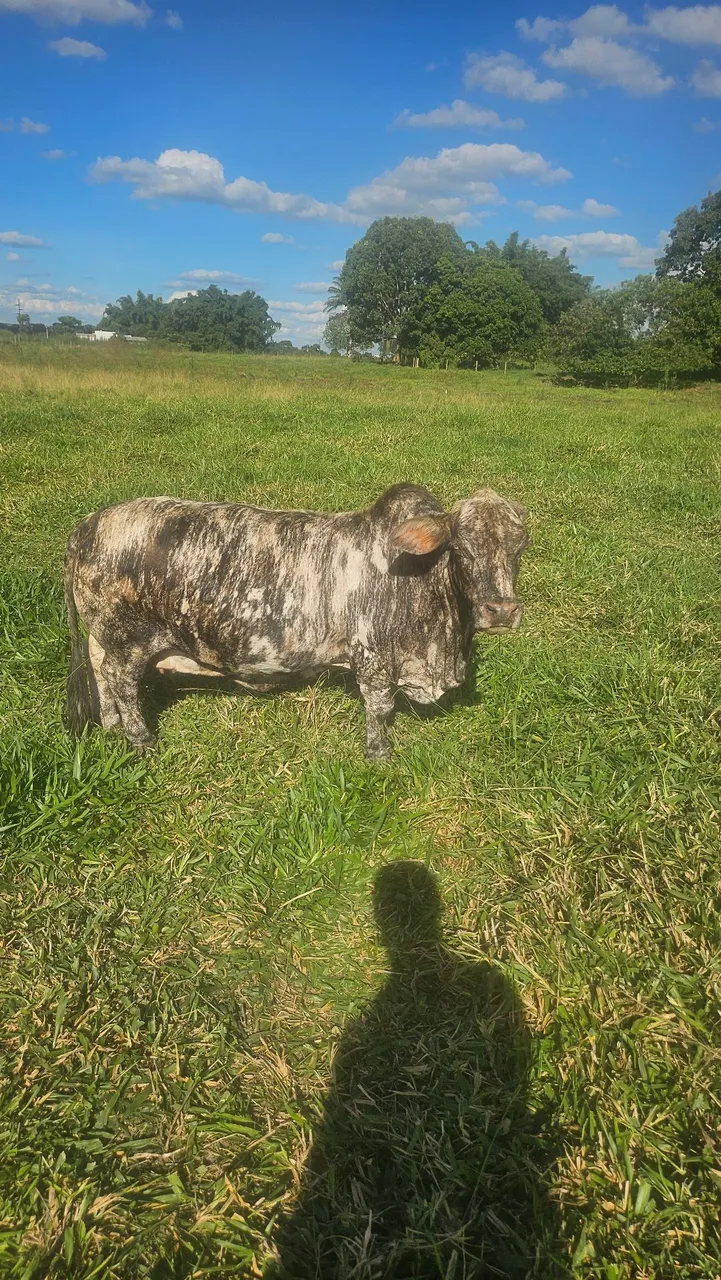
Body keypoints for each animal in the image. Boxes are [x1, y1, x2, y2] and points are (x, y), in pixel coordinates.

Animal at [64, 484, 529, 760]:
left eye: (520, 548)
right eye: (461, 548)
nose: (502, 611)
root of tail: (88, 525)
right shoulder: (374, 659)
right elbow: (379, 709)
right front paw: (379, 755)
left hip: (105, 637)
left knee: (99, 669)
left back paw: (111, 726)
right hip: (127, 639)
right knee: (121, 681)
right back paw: (141, 740)